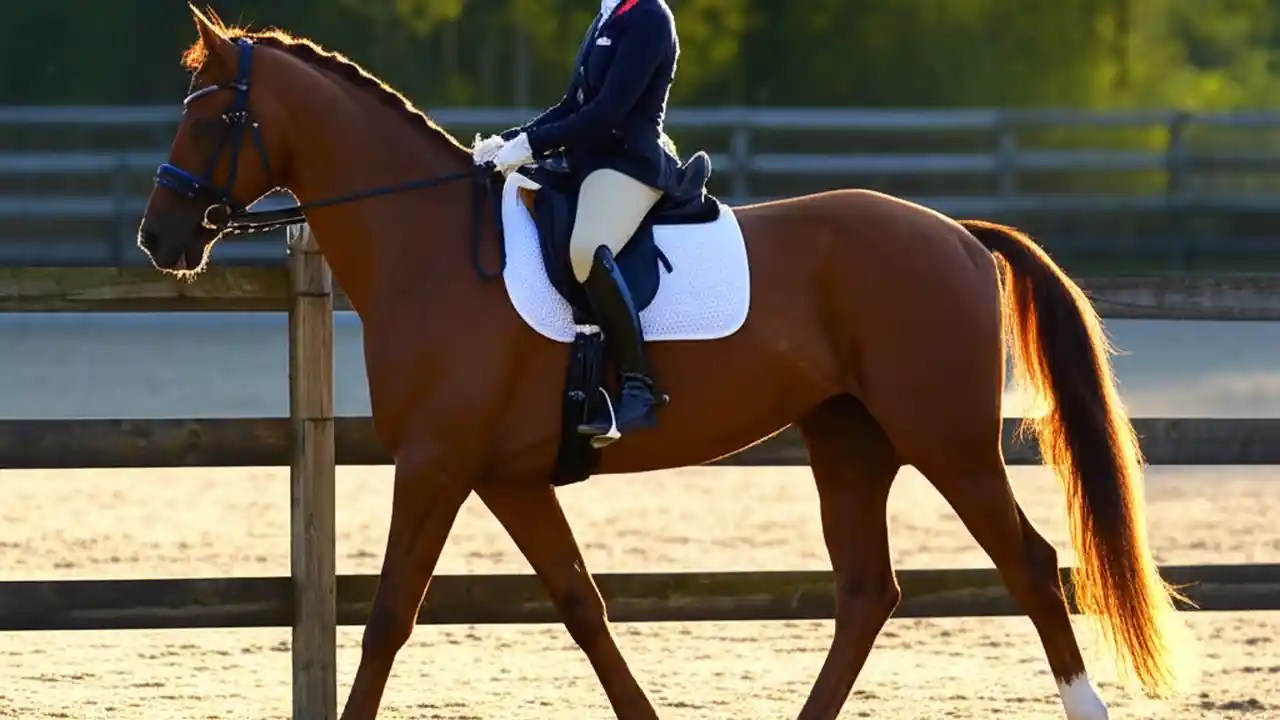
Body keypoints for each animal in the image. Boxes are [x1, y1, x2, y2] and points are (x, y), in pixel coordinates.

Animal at [137, 7, 1186, 719]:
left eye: (209, 119)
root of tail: (959, 234)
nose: (160, 239)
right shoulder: (507, 475)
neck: (429, 249)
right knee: (866, 593)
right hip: (850, 440)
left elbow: (393, 612)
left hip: (947, 440)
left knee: (1029, 564)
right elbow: (581, 604)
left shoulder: (436, 464)